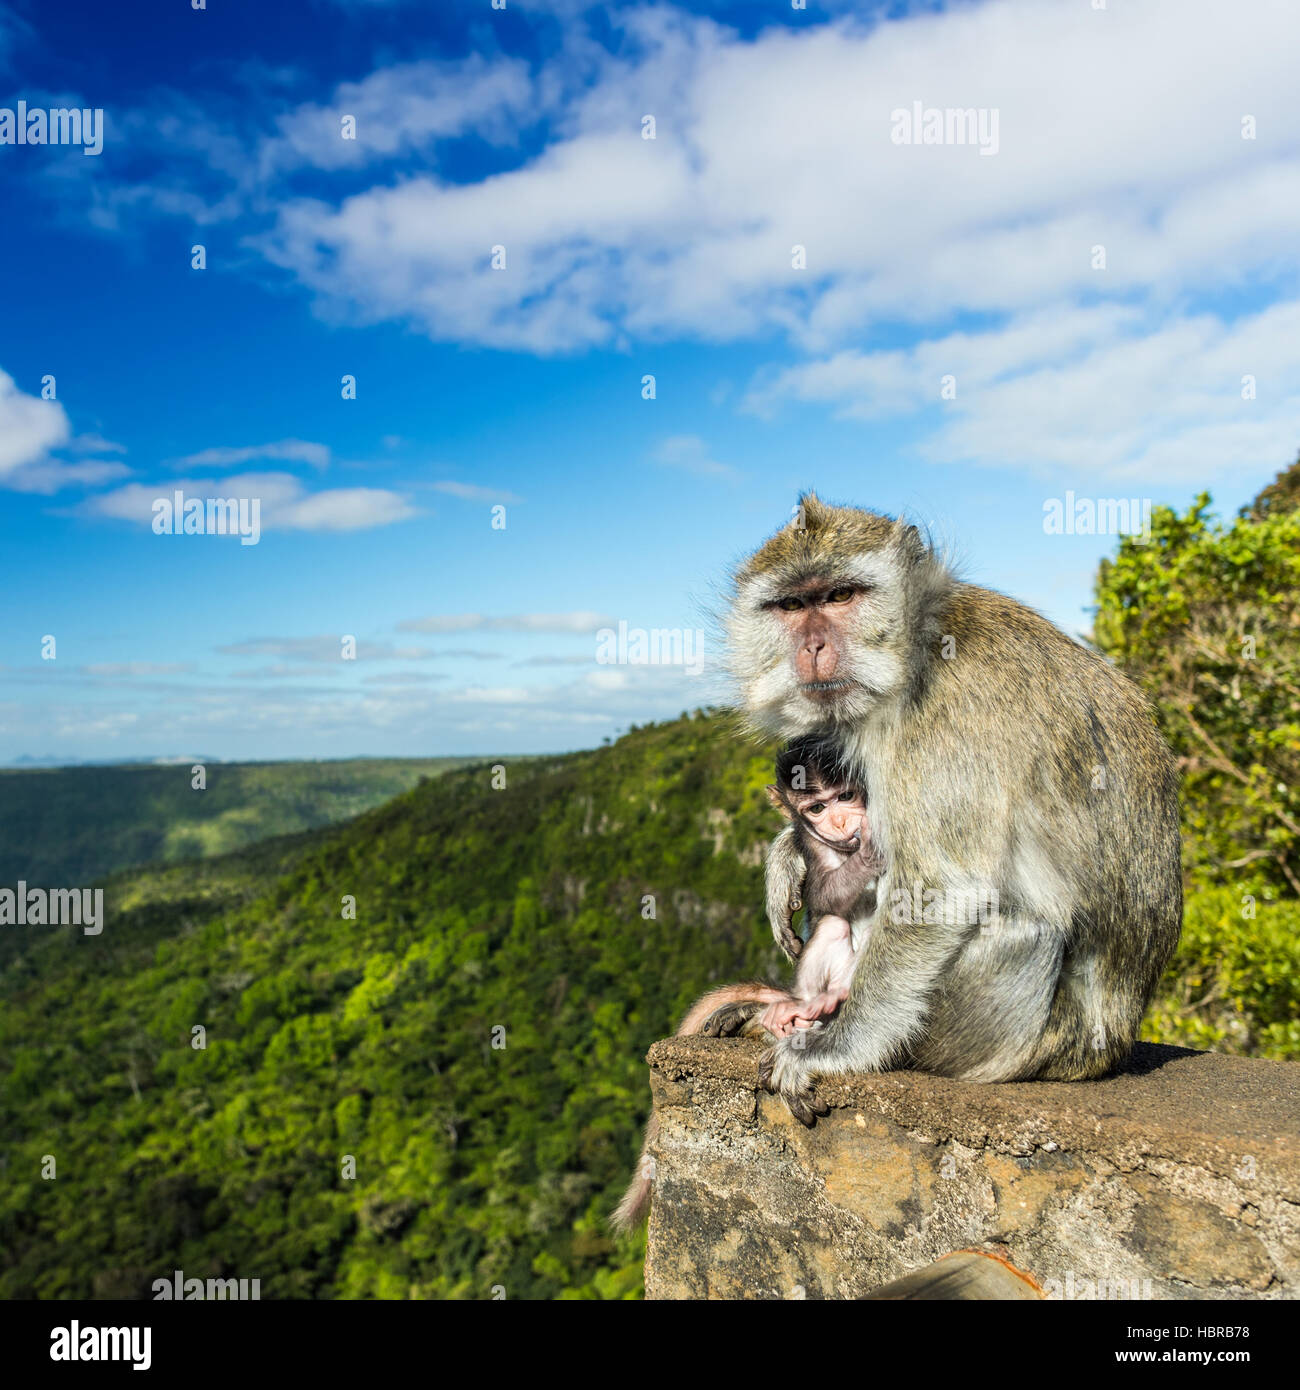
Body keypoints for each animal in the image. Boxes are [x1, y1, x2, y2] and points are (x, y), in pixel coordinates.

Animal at [726, 491, 1183, 1124]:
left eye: (841, 595)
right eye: (792, 605)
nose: (813, 647)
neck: (919, 647)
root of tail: (1106, 1049)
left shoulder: (946, 721)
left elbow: (939, 890)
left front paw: (830, 1047)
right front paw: (785, 857)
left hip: (1006, 1044)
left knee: (1024, 932)